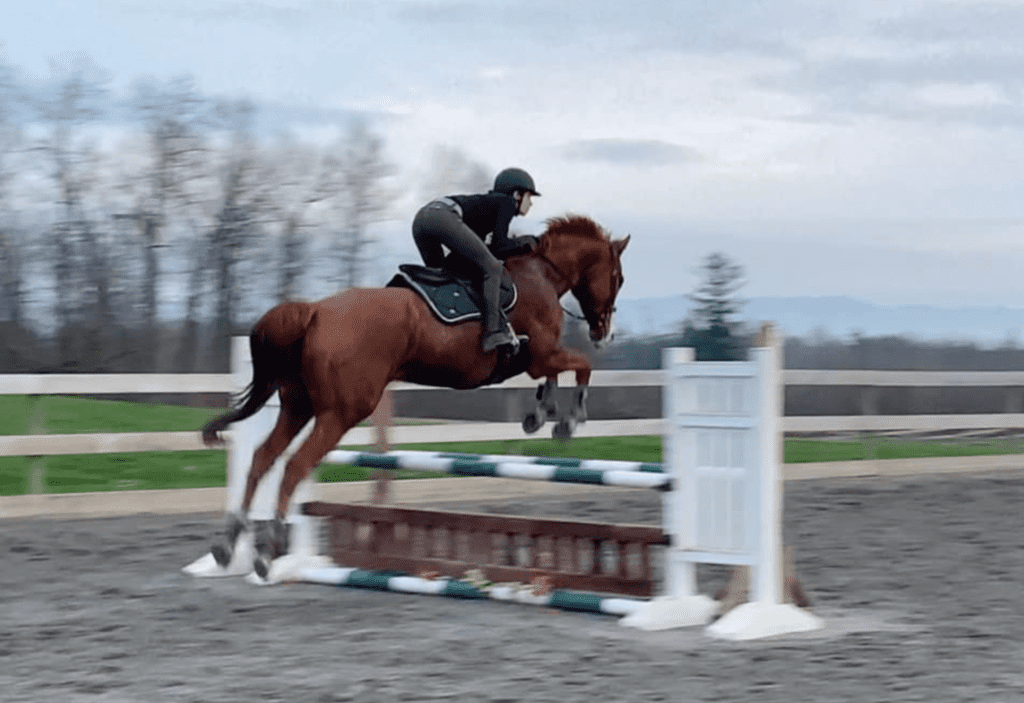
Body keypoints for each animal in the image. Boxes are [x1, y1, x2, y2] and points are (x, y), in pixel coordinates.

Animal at [201, 214, 629, 578]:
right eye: (618, 276)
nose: (604, 334)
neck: (543, 272)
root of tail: (314, 312)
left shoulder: (539, 360)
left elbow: (559, 375)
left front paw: (541, 414)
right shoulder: (540, 356)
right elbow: (582, 366)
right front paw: (569, 420)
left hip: (297, 407)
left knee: (262, 459)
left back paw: (228, 544)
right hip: (341, 412)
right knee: (294, 466)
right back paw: (266, 550)